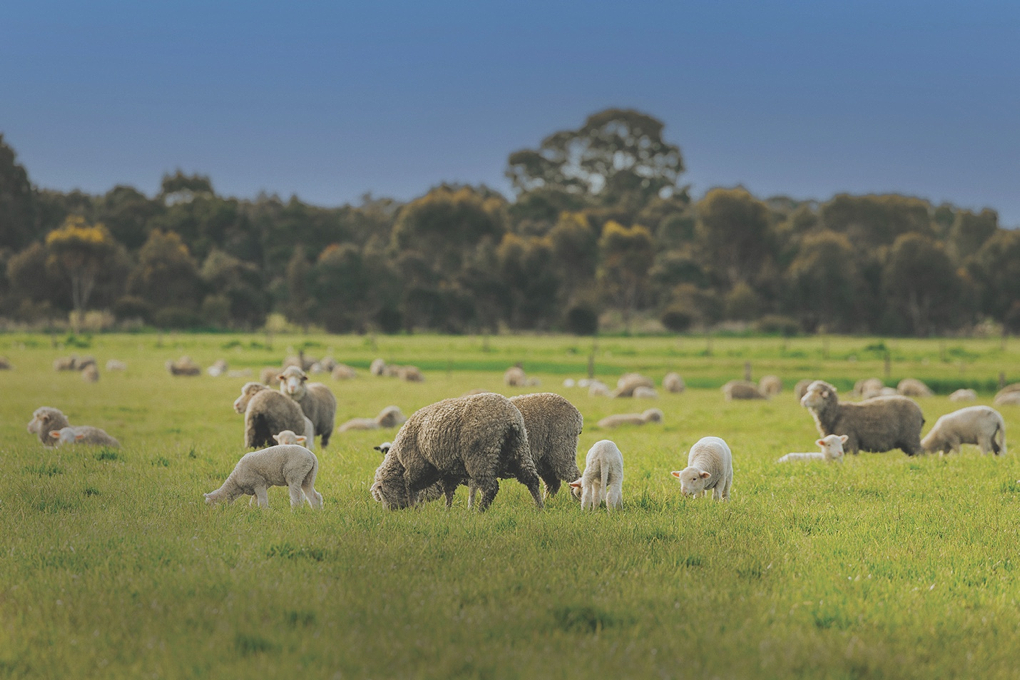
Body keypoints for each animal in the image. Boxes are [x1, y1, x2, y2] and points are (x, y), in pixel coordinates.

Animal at [370, 392, 543, 512]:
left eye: (382, 495)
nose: (389, 512)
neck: (398, 460)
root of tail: (510, 418)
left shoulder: (416, 467)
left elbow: (412, 487)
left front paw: (414, 509)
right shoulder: (447, 471)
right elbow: (449, 492)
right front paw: (447, 511)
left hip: (481, 455)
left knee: (490, 488)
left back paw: (480, 512)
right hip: (520, 449)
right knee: (532, 480)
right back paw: (540, 507)